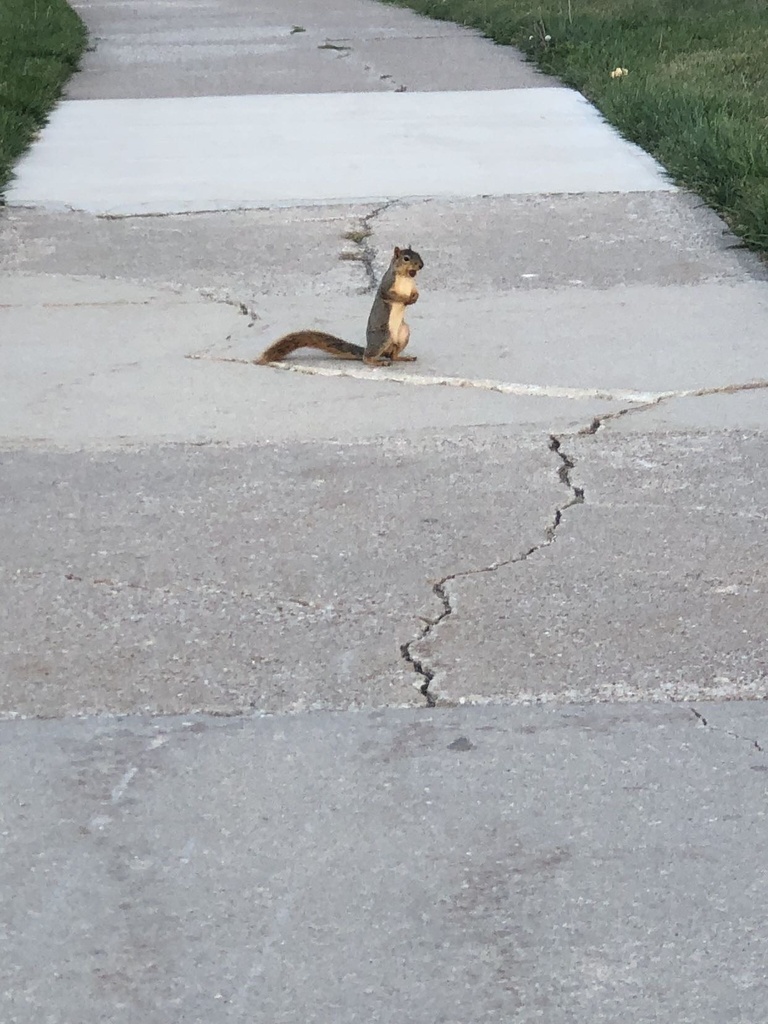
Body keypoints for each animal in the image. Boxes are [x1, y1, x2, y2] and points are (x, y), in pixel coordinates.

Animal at [256, 246, 424, 367]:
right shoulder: (386, 285)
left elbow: (416, 293)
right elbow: (389, 295)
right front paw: (405, 299)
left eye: (418, 254)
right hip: (383, 336)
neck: (406, 277)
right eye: (406, 258)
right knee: (367, 358)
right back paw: (377, 362)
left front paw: (414, 298)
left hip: (403, 334)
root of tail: (370, 347)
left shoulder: (413, 286)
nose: (421, 265)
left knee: (393, 356)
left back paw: (403, 358)